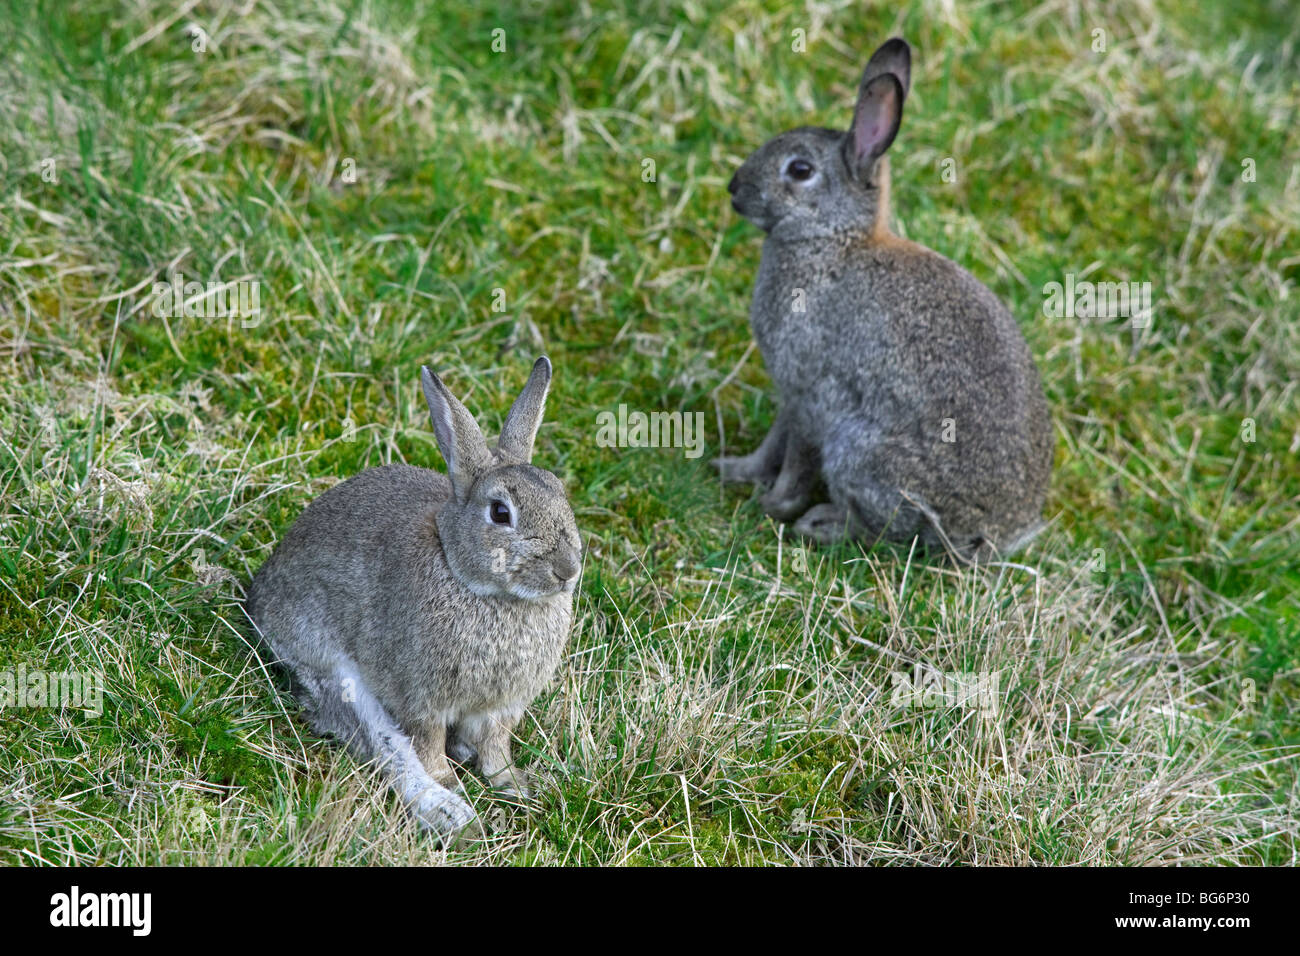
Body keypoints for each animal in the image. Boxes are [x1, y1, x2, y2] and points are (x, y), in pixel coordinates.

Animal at [244, 356, 582, 841]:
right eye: (501, 513)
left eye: (559, 492)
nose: (568, 570)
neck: (478, 586)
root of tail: (259, 597)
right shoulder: (421, 700)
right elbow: (425, 743)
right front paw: (450, 780)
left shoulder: (502, 707)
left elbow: (495, 745)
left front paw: (513, 782)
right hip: (333, 672)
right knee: (386, 746)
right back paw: (451, 814)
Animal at [715, 37, 1053, 561]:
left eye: (800, 170)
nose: (734, 188)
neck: (835, 240)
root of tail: (993, 535)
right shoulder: (791, 397)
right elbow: (770, 446)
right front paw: (733, 470)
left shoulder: (809, 394)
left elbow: (793, 458)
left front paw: (771, 505)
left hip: (860, 451)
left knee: (884, 531)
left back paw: (821, 524)